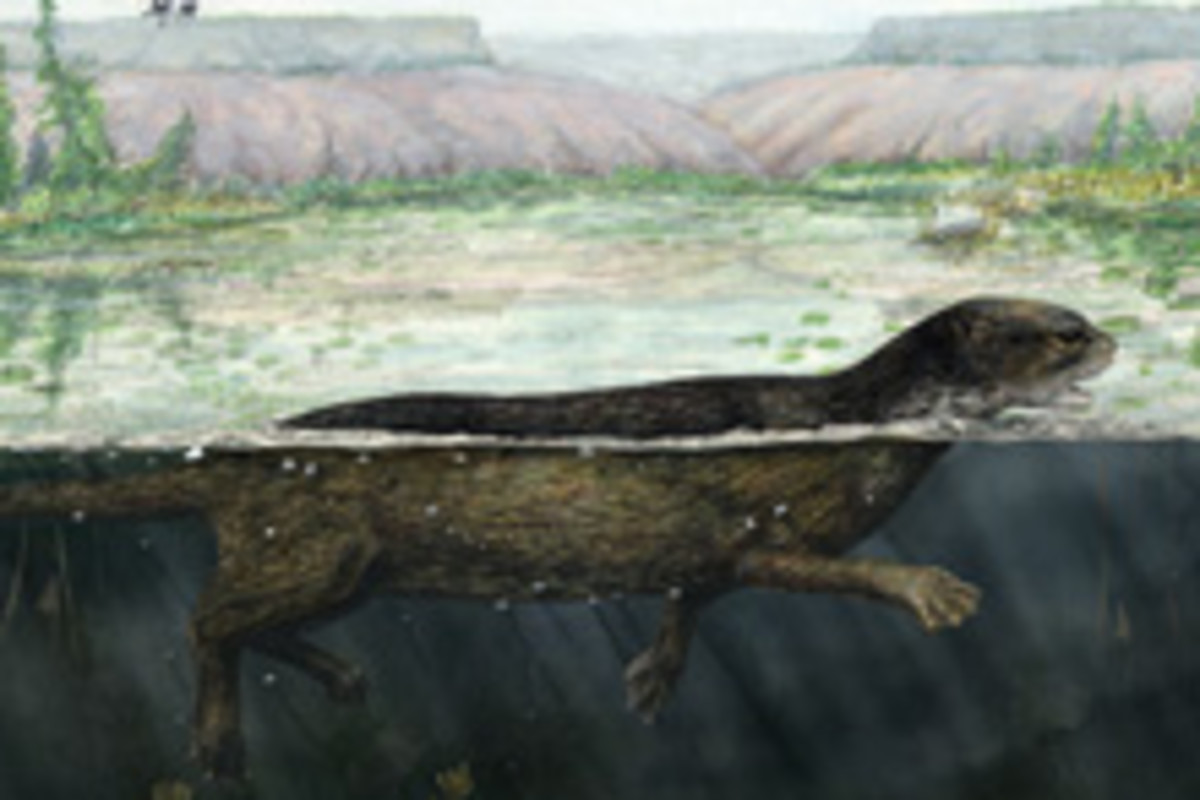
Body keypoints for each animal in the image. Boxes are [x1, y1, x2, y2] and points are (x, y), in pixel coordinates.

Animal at [0, 297, 1114, 781]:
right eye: (1058, 330)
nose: (1111, 337)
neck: (851, 422)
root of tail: (231, 455)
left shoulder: (706, 552)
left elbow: (694, 593)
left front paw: (655, 674)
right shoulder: (771, 515)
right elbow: (795, 569)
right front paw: (933, 589)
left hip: (348, 569)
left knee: (252, 621)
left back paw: (342, 678)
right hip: (316, 540)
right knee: (208, 619)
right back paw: (218, 741)